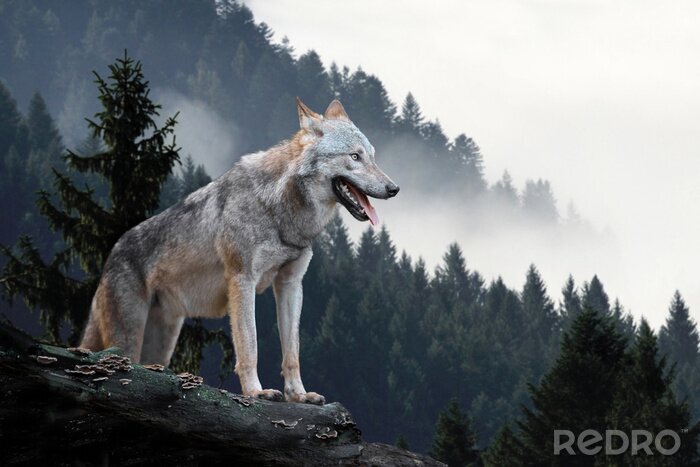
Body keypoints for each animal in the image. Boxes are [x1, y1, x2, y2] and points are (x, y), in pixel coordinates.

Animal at [80, 98, 400, 406]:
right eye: (355, 156)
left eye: (372, 156)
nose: (394, 188)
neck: (279, 209)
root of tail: (111, 255)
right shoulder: (242, 280)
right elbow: (250, 345)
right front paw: (256, 392)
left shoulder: (291, 284)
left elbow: (292, 352)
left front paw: (298, 395)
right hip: (128, 340)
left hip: (161, 346)